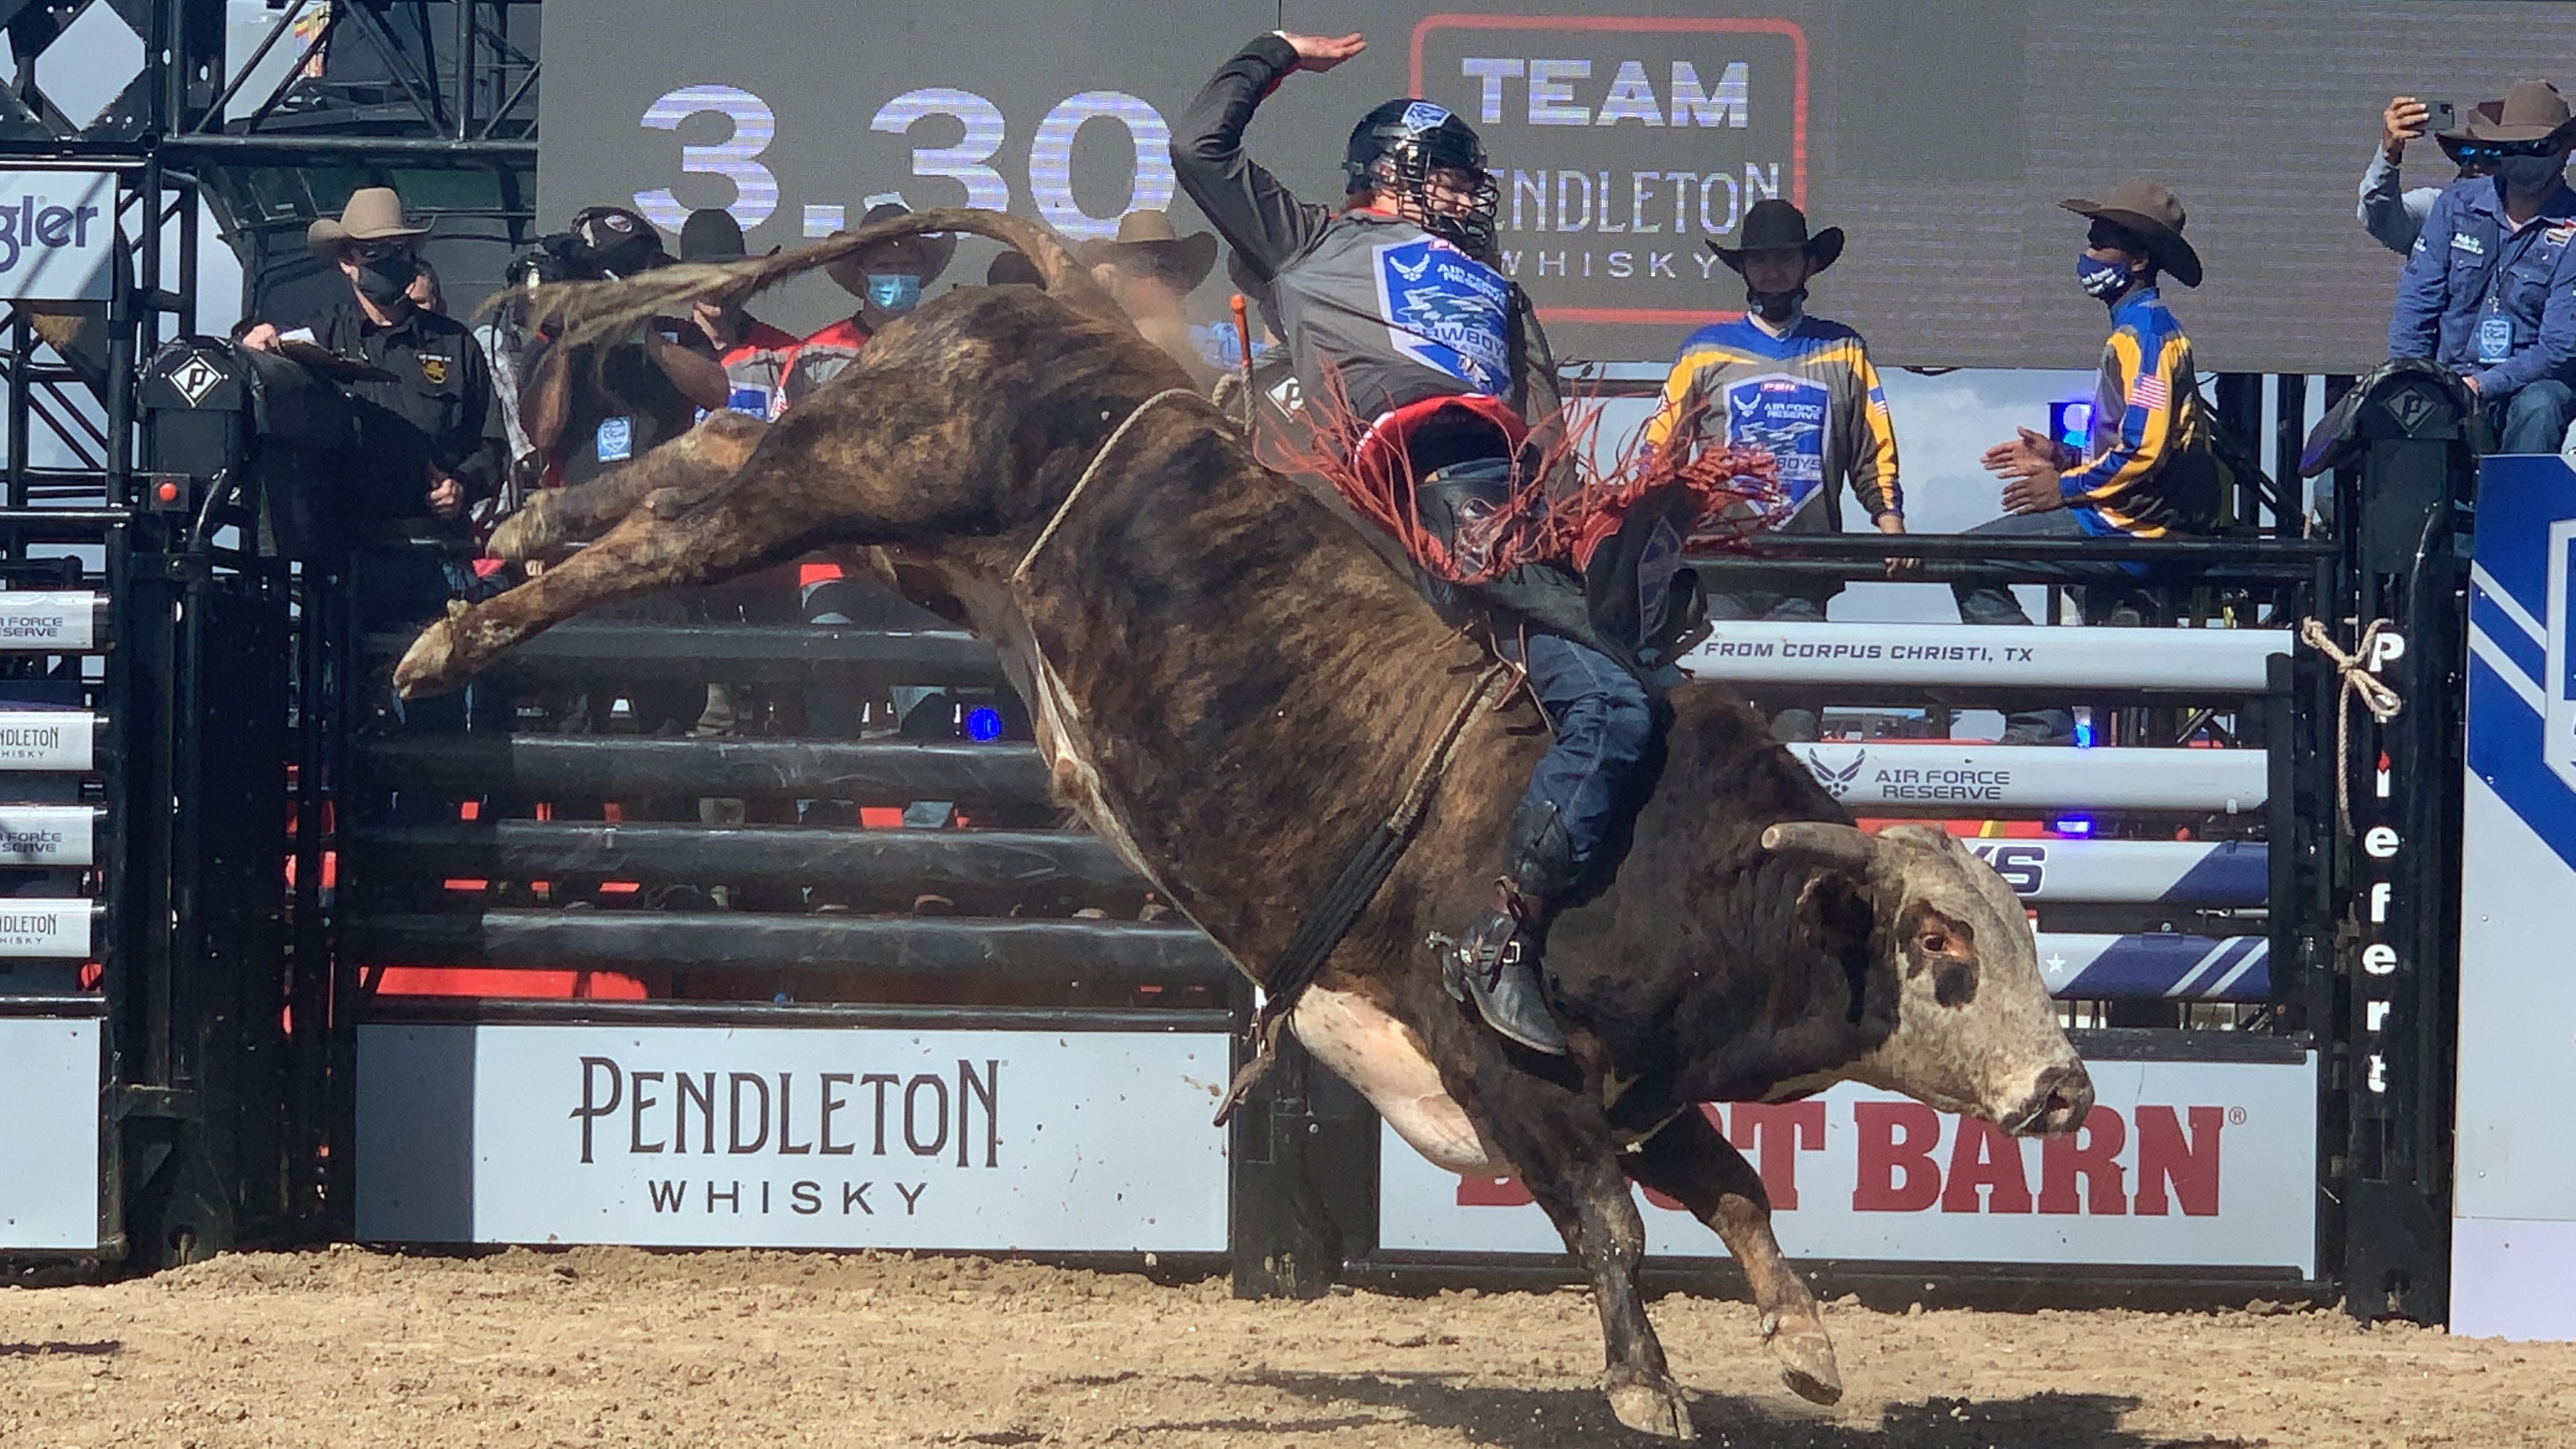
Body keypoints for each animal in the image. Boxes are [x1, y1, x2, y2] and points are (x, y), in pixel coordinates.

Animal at [397, 208, 2094, 1441]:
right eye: (1942, 951)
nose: (2065, 1091)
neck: (1679, 863)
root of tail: (1042, 295)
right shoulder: (1510, 1069)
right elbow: (1611, 1224)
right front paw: (1647, 1390)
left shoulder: (1637, 1085)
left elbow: (1733, 1189)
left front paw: (1806, 1354)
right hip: (868, 476)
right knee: (682, 534)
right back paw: (449, 636)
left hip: (893, 525)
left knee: (698, 468)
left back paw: (526, 516)